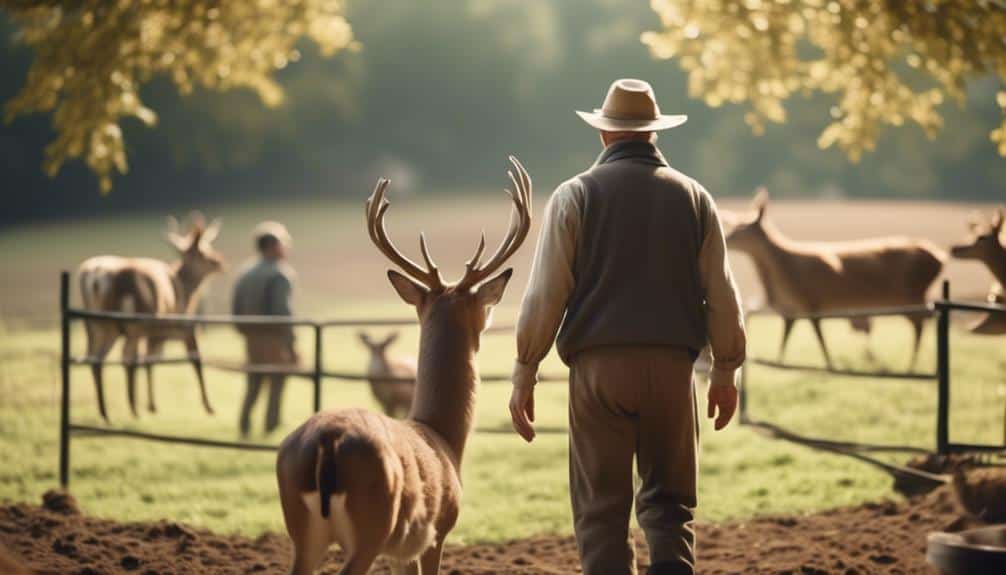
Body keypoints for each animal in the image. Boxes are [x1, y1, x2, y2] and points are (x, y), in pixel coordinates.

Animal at [77, 212, 222, 421]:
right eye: (204, 252)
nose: (220, 262)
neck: (185, 294)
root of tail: (96, 278)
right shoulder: (178, 327)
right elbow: (192, 359)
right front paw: (209, 407)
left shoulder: (155, 333)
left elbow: (150, 361)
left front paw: (151, 406)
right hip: (133, 323)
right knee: (127, 358)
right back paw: (131, 410)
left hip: (100, 326)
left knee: (96, 358)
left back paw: (105, 412)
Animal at [276, 156, 531, 575]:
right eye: (482, 309)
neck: (443, 437)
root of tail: (326, 441)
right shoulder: (435, 533)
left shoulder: (401, 551)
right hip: (373, 520)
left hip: (300, 523)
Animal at [724, 188, 945, 370]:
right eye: (735, 224)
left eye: (742, 227)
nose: (726, 238)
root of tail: (939, 257)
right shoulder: (790, 312)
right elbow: (783, 344)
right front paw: (777, 363)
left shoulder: (812, 303)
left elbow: (821, 341)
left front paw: (830, 365)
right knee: (924, 322)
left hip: (911, 295)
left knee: (925, 321)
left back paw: (913, 364)